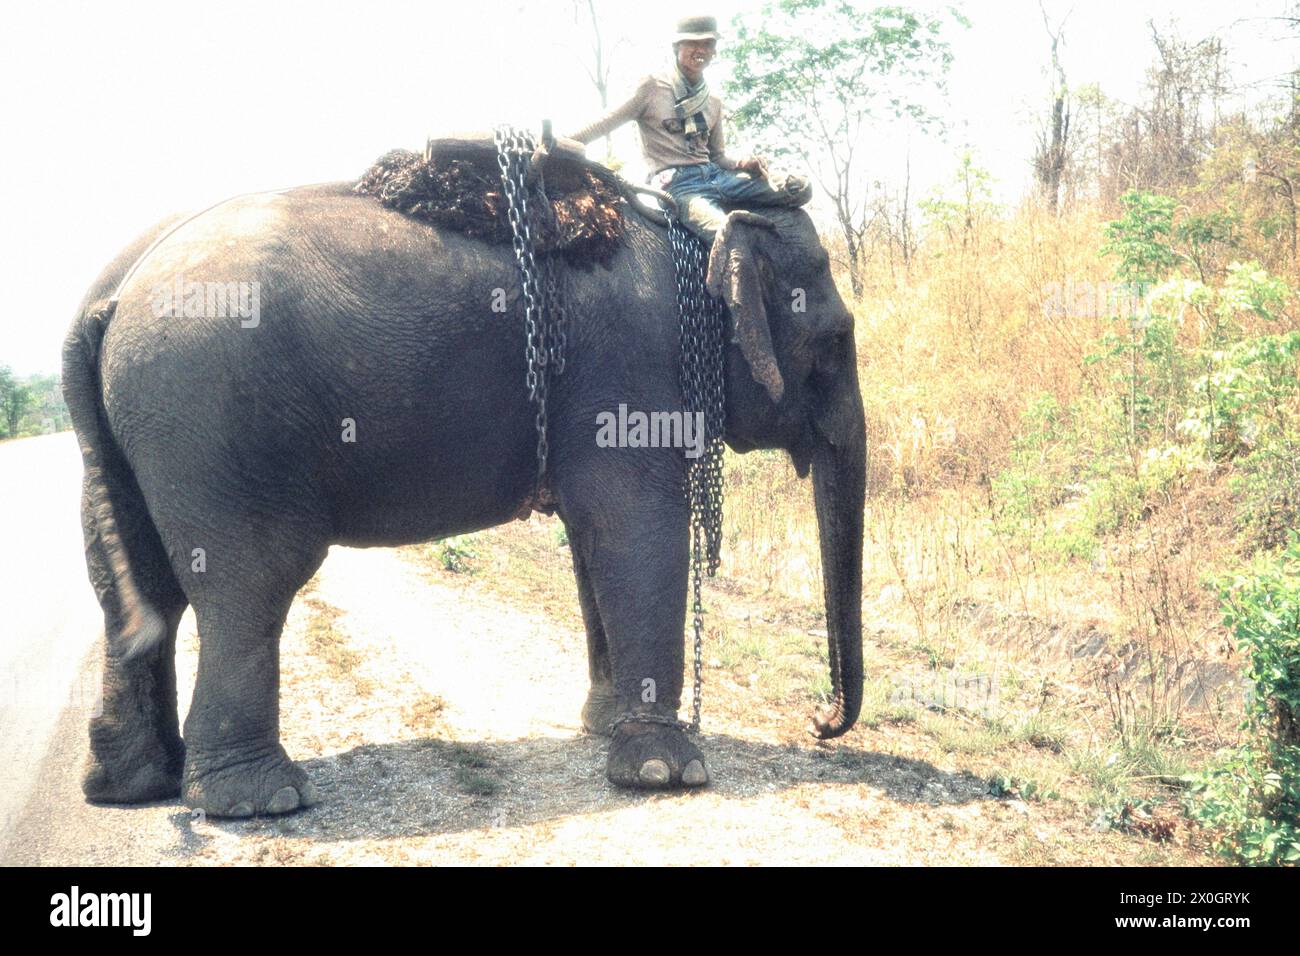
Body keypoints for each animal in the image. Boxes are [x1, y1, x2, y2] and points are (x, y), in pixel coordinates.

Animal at [61, 142, 866, 818]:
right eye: (836, 341)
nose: (820, 721)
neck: (696, 228)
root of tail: (109, 299)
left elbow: (594, 539)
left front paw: (604, 729)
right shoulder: (633, 369)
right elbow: (635, 531)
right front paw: (668, 774)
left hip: (140, 434)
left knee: (133, 586)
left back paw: (134, 787)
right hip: (217, 425)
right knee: (249, 582)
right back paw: (261, 801)